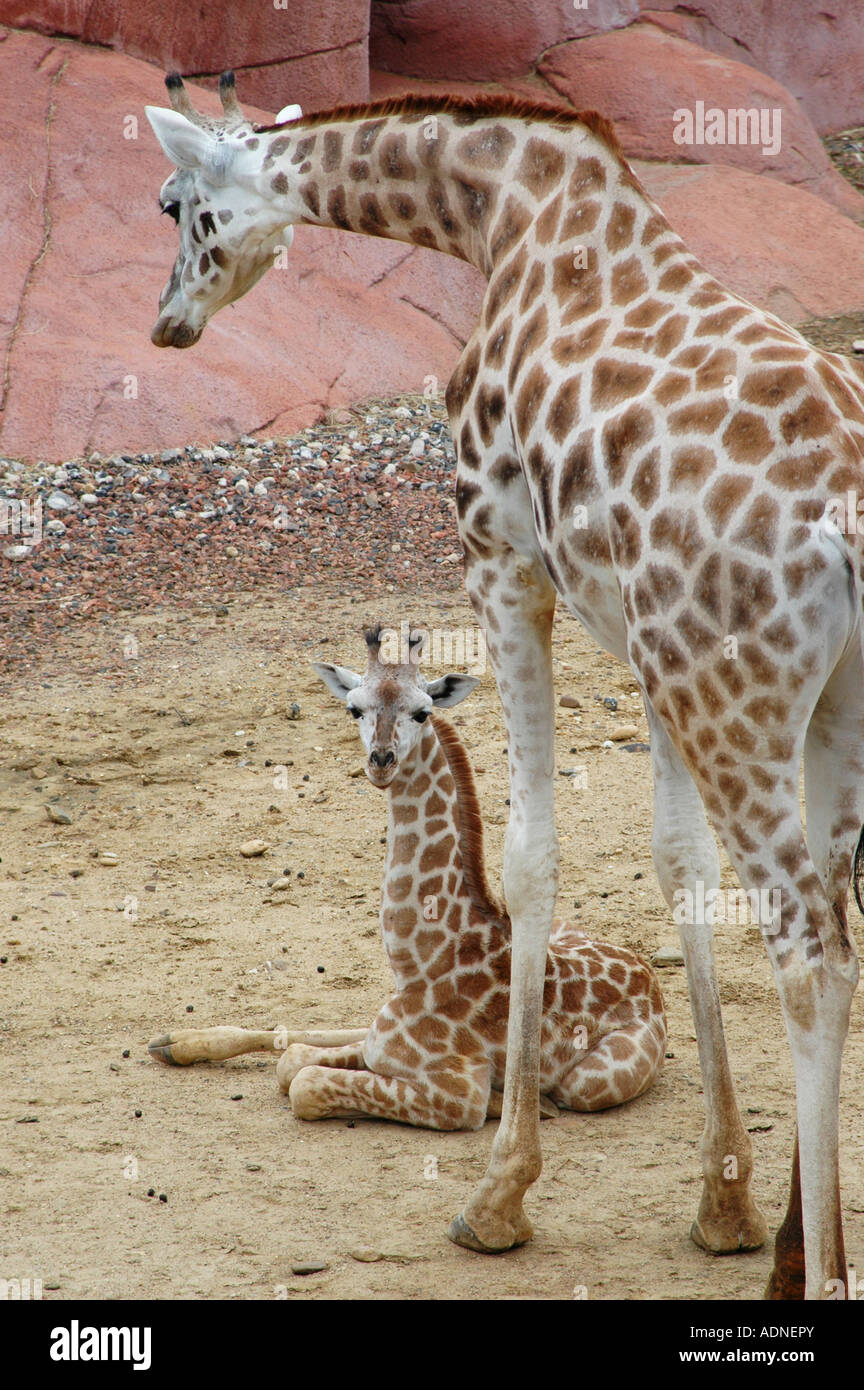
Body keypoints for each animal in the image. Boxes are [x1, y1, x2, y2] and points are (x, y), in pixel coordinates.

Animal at [149, 626, 667, 1129]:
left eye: (422, 712)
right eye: (354, 708)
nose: (382, 761)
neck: (422, 962)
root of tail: (650, 979)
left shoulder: (456, 1094)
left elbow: (303, 1083)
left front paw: (511, 1103)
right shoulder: (382, 1045)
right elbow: (292, 1062)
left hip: (591, 1081)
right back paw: (171, 1042)